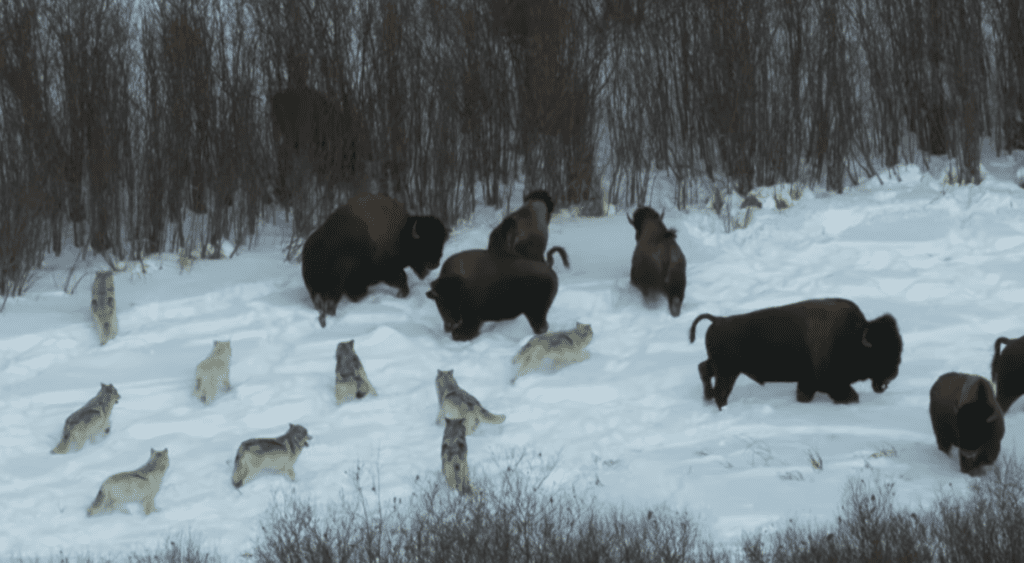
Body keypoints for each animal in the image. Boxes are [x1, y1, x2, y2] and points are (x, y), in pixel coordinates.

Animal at [302, 193, 448, 327]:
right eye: (425, 244)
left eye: (441, 242)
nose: (435, 264)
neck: (401, 235)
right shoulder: (387, 271)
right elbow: (402, 278)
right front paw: (401, 294)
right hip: (335, 286)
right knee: (332, 302)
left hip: (316, 288)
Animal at [426, 247, 568, 341]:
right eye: (438, 301)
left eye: (451, 299)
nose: (451, 325)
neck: (460, 285)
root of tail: (548, 267)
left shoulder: (471, 318)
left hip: (535, 312)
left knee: (541, 326)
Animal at [689, 298, 903, 409]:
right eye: (880, 352)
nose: (892, 374)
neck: (852, 337)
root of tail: (717, 320)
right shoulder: (830, 382)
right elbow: (849, 395)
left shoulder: (807, 381)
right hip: (728, 372)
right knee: (720, 391)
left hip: (721, 367)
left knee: (703, 369)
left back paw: (707, 399)